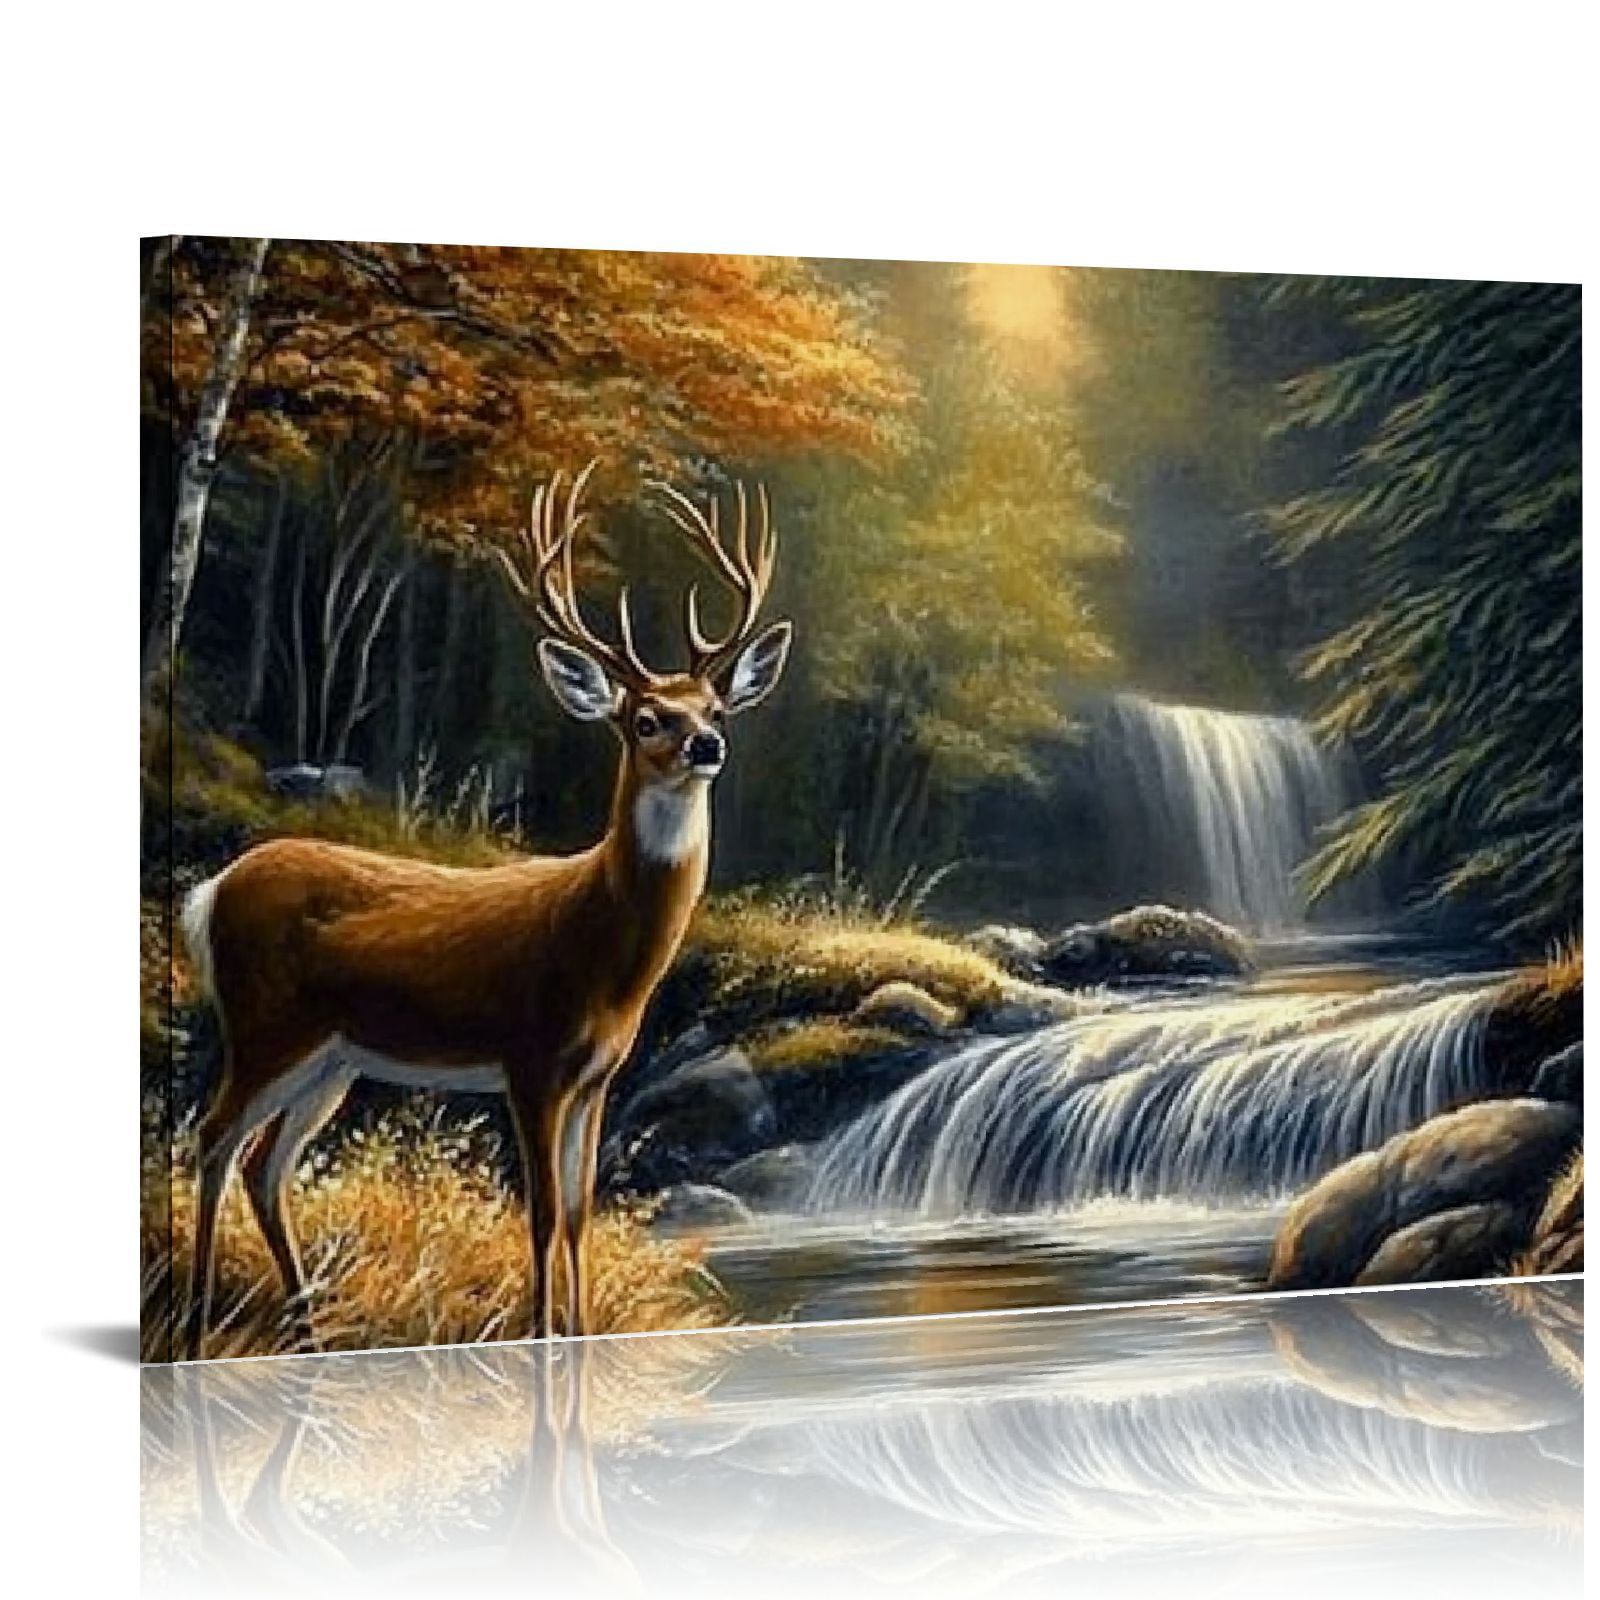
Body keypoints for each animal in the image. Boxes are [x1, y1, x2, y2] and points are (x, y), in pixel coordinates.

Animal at [179, 462, 792, 1360]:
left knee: (264, 1163)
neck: (604, 951)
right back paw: (195, 1325)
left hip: (333, 1058)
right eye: (647, 718)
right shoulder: (529, 1058)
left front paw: (581, 1337)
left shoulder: (599, 1075)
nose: (707, 746)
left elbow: (577, 1215)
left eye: (716, 709)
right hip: (267, 1025)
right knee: (212, 1137)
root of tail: (209, 891)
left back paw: (309, 1334)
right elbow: (539, 1217)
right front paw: (541, 1339)